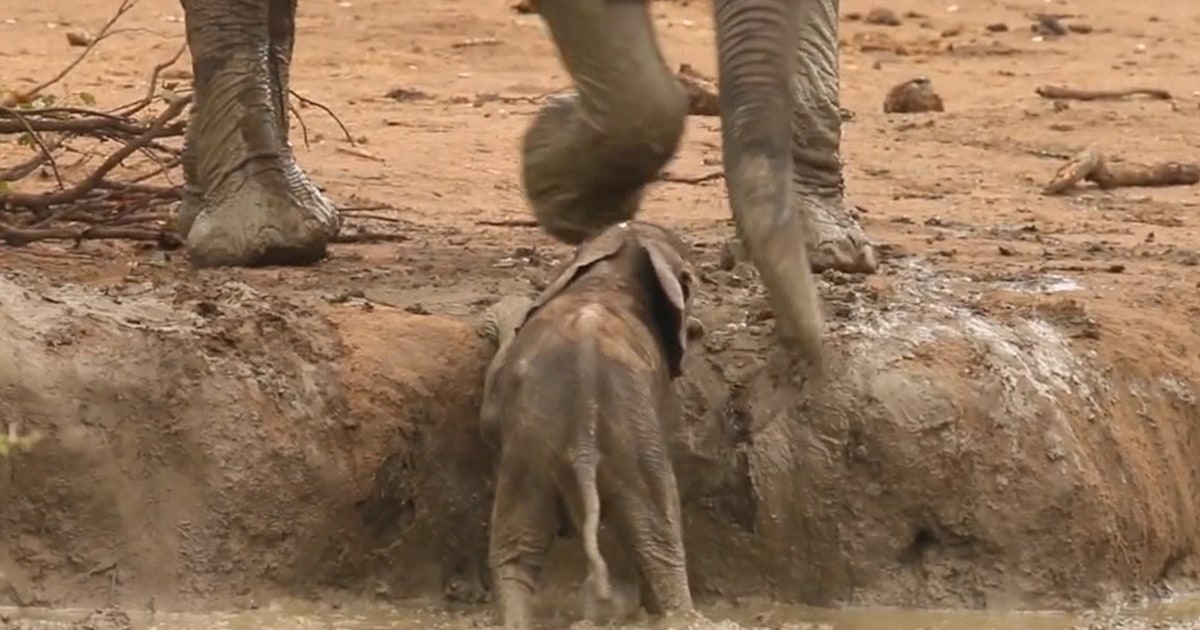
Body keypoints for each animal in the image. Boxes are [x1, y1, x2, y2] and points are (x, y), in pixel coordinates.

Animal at [478, 220, 704, 630]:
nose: (697, 330)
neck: (614, 274)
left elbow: (486, 422)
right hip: (602, 439)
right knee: (656, 537)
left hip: (540, 444)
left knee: (518, 543)